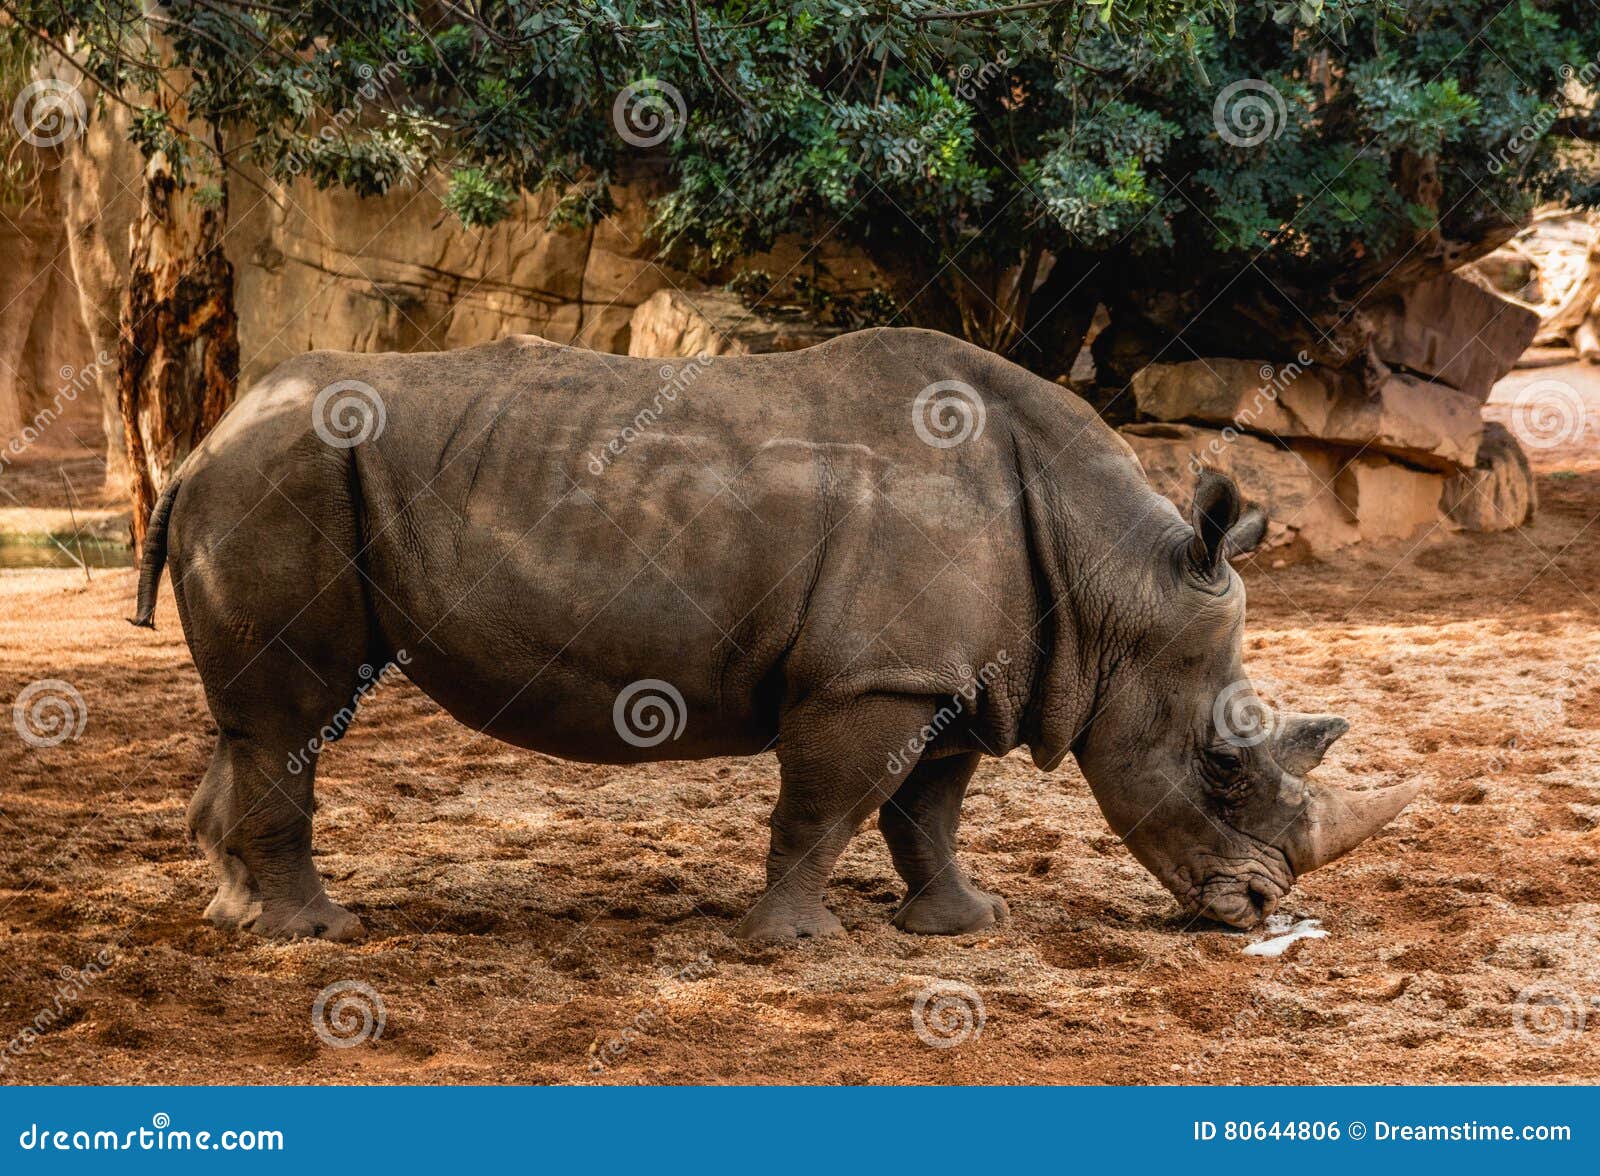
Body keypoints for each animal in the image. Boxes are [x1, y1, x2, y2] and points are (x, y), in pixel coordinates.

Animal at [130, 328, 1418, 942]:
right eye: (1220, 767)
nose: (1257, 910)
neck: (1113, 580)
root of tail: (203, 438)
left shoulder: (947, 677)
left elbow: (926, 813)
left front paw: (964, 926)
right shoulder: (869, 679)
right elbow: (826, 809)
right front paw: (792, 944)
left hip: (276, 472)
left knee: (253, 724)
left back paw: (234, 918)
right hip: (282, 478)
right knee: (294, 715)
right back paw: (316, 938)